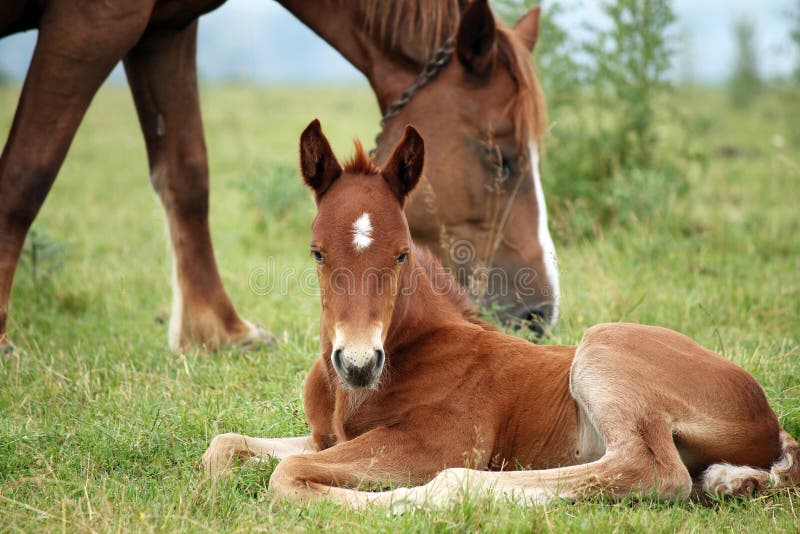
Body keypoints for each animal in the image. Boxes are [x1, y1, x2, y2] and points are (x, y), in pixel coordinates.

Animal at [0, 0, 557, 355]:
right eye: (500, 156)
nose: (540, 313)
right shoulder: (96, 20)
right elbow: (27, 174)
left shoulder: (163, 30)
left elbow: (186, 173)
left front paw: (218, 331)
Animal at [202, 120, 800, 509]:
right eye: (318, 252)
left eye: (402, 253)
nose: (358, 363)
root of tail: (767, 418)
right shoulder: (328, 438)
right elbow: (224, 447)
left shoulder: (429, 443)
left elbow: (288, 475)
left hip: (603, 348)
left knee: (649, 471)